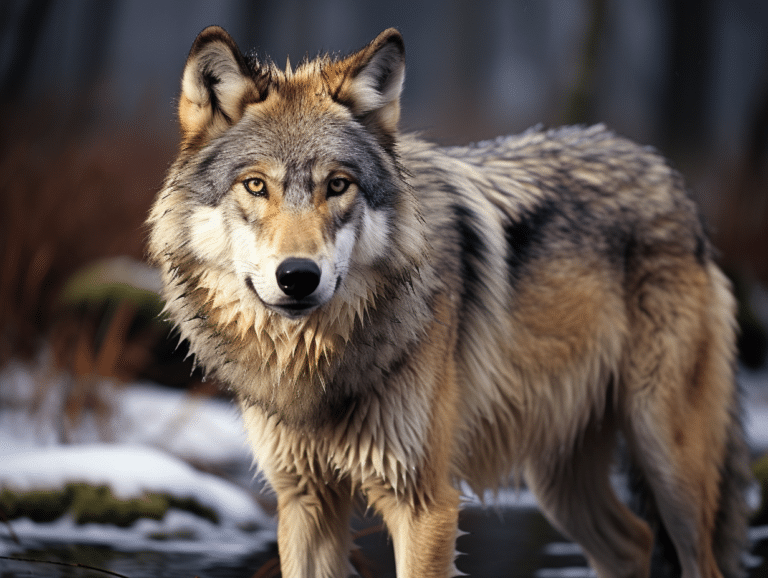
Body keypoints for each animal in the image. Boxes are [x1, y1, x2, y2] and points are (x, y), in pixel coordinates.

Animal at [147, 26, 751, 578]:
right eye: (255, 186)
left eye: (338, 185)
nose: (298, 276)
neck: (318, 363)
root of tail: (667, 173)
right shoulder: (304, 500)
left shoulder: (425, 504)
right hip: (558, 479)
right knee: (632, 541)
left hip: (667, 457)